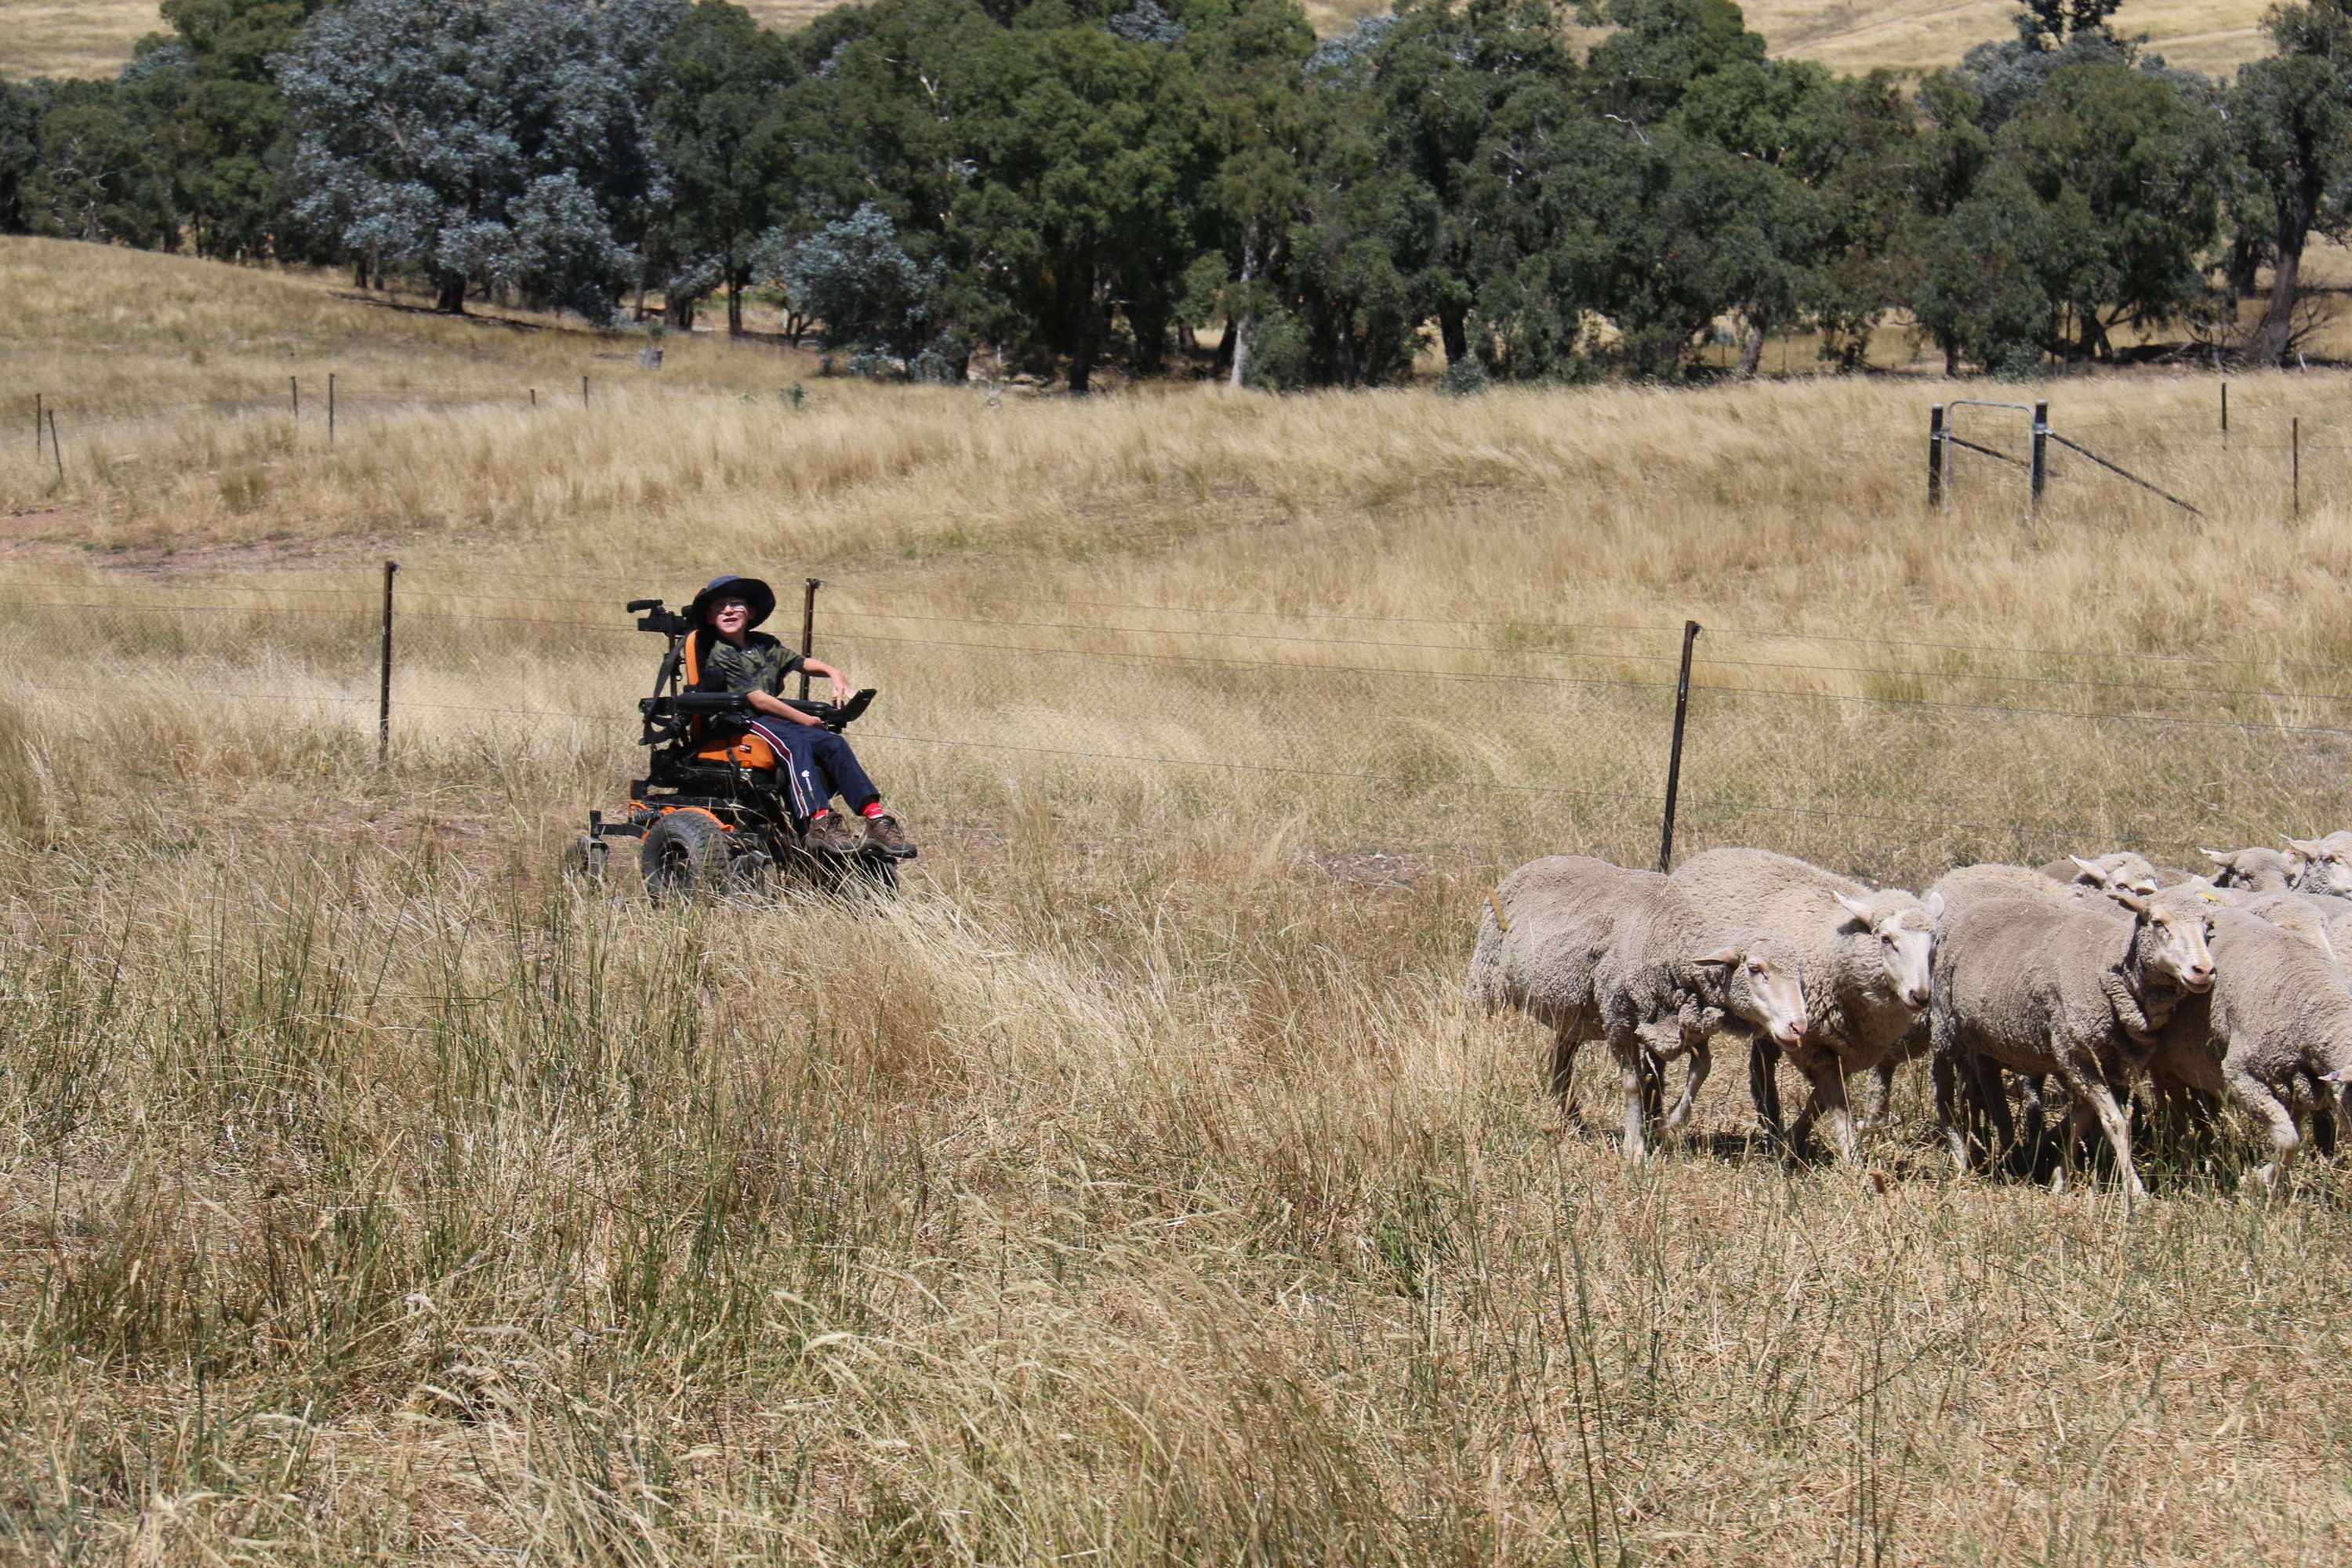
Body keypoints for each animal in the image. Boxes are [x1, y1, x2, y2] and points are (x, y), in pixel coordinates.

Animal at [1469, 855, 1809, 1162]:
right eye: (1754, 968)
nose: (1799, 1027)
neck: (1672, 940)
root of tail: (1528, 865)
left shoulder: (1684, 1019)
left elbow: (1702, 1069)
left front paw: (1667, 1126)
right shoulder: (1620, 1020)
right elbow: (1634, 1085)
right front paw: (1635, 1149)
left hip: (1571, 1015)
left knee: (1559, 1064)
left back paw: (1574, 1120)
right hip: (1486, 983)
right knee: (1481, 1033)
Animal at [1668, 848, 1938, 1162]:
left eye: (1936, 943)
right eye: (1886, 939)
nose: (1920, 995)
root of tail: (1712, 854)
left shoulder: (1842, 1048)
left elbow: (1820, 1102)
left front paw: (1790, 1142)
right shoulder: (1815, 1045)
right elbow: (1836, 1105)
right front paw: (1851, 1159)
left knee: (1761, 1064)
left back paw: (1769, 1118)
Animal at [1927, 873, 2215, 1204]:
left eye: (2210, 927)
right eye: (2157, 922)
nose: (2204, 971)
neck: (2107, 966)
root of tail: (1975, 909)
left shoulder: (2104, 1063)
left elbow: (2082, 1120)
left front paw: (2059, 1178)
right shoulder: (2077, 1057)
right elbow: (2116, 1122)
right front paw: (2137, 1191)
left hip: (1986, 1034)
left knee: (1986, 1078)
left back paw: (2004, 1150)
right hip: (1945, 1024)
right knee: (1941, 1089)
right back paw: (1962, 1156)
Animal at [2145, 906, 2352, 1188]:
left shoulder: (2294, 1089)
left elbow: (2291, 1136)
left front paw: (2268, 1181)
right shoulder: (2242, 1075)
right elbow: (2289, 1141)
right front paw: (2255, 1180)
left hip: (2197, 1062)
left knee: (2200, 1112)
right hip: (2164, 1067)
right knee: (2173, 1114)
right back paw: (2180, 1163)